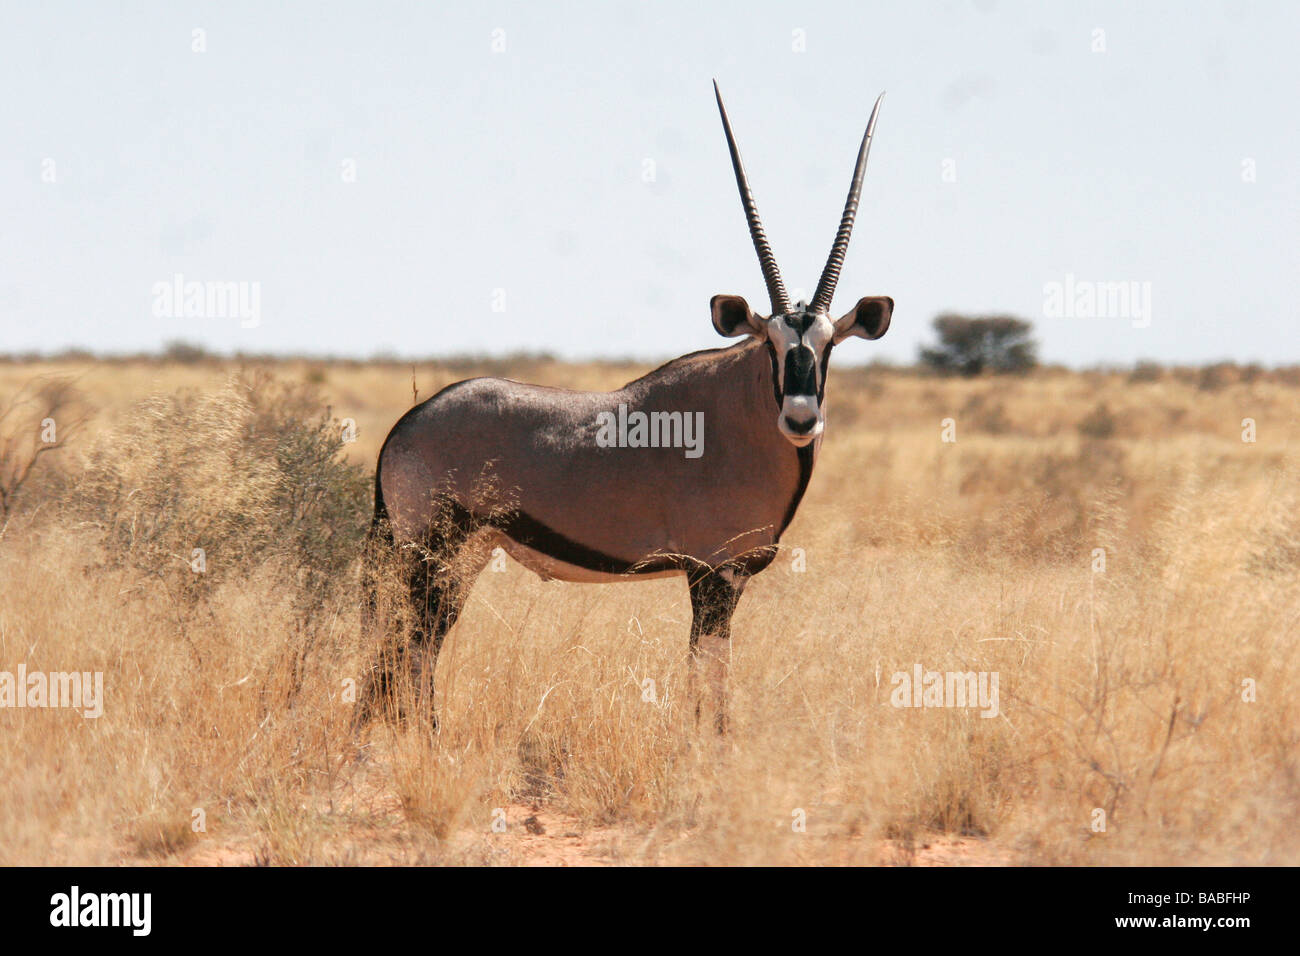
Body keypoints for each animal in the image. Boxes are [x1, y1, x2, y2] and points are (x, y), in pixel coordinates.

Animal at [357, 82, 893, 731]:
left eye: (829, 344)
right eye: (772, 343)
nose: (800, 417)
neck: (740, 415)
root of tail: (405, 427)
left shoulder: (727, 578)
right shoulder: (714, 576)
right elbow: (708, 683)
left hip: (464, 555)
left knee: (415, 649)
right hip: (428, 552)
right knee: (405, 648)